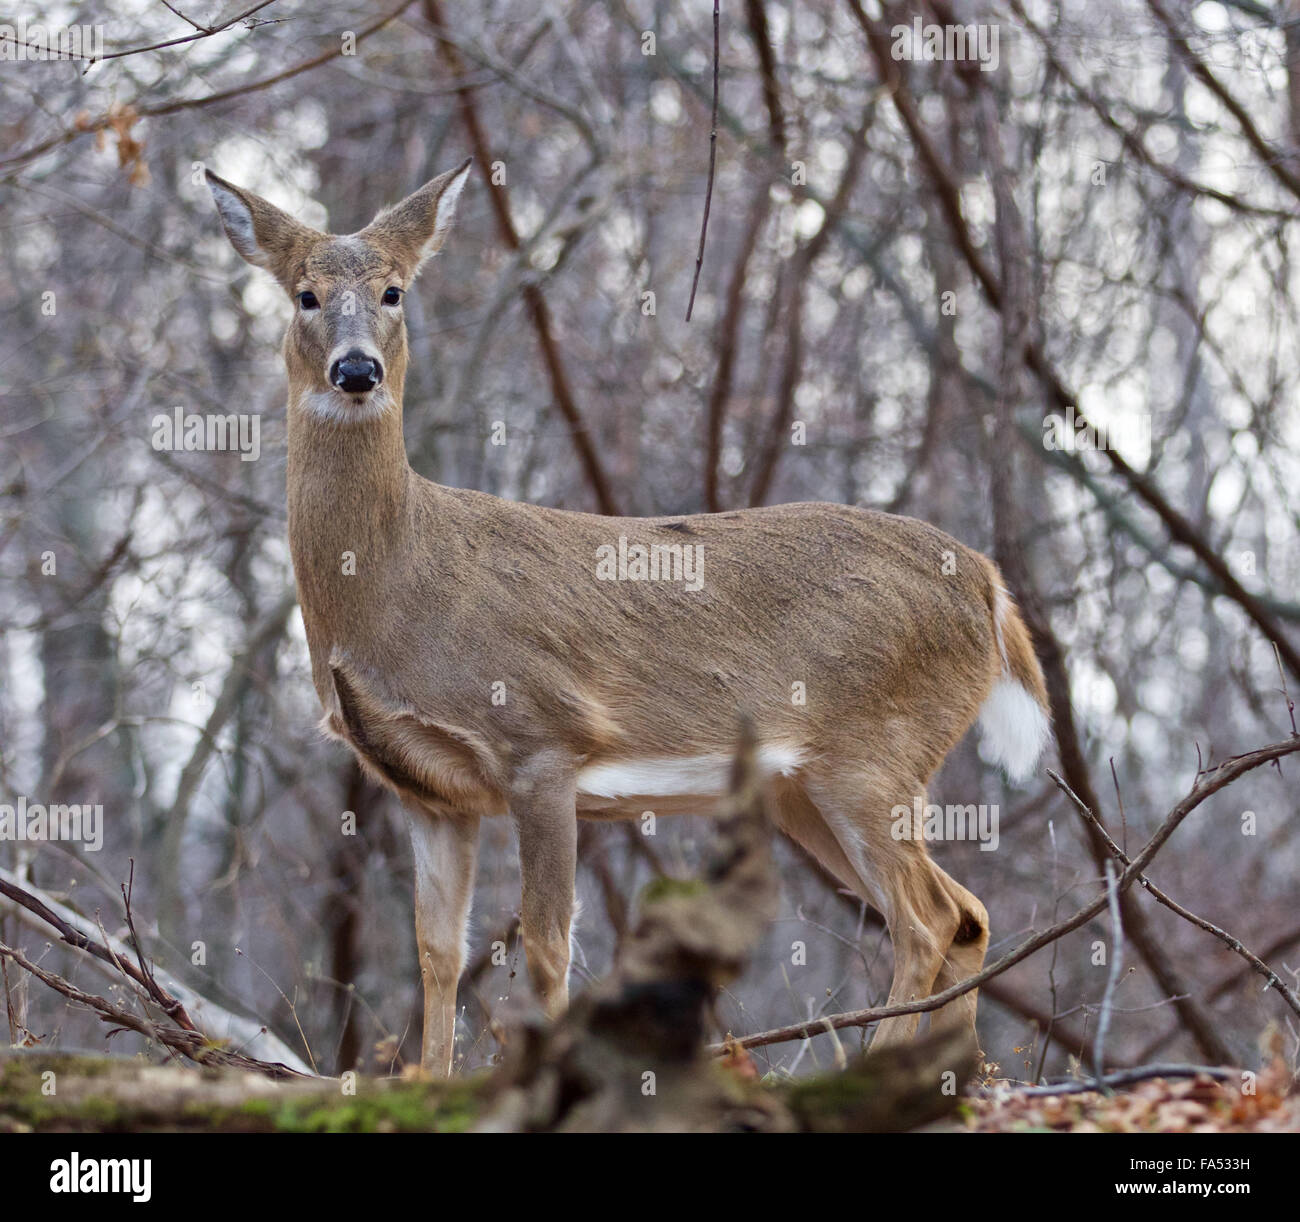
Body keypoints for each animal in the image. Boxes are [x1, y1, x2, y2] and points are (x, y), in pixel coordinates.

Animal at [206, 157, 1051, 1076]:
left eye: (394, 291)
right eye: (305, 294)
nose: (357, 371)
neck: (400, 581)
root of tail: (989, 583)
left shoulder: (541, 741)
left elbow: (547, 945)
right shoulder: (430, 791)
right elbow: (439, 951)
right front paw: (432, 1079)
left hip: (876, 753)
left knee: (927, 919)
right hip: (806, 787)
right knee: (965, 914)